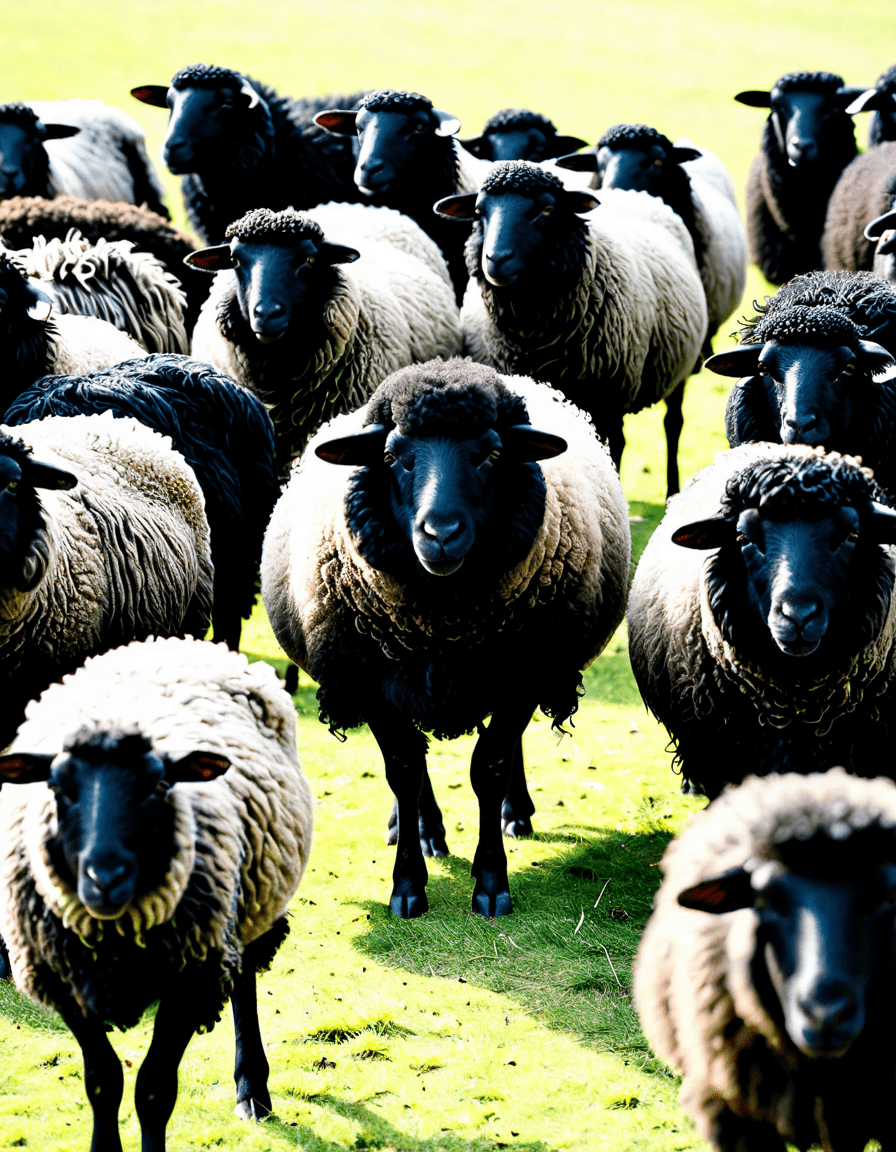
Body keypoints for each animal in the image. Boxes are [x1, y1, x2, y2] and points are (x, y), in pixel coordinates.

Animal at [0, 635, 313, 1144]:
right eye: (57, 788)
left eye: (158, 785)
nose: (104, 878)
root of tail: (178, 640)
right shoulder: (62, 977)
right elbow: (103, 1081)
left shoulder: (193, 976)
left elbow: (154, 1088)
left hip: (248, 901)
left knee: (244, 981)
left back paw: (252, 1089)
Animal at [261, 357, 631, 917]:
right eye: (392, 457)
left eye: (492, 454)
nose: (440, 533)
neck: (443, 623)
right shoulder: (370, 682)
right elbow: (404, 769)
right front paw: (408, 886)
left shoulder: (525, 673)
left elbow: (492, 764)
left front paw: (491, 883)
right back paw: (419, 827)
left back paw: (514, 813)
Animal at [437, 161, 707, 496]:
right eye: (478, 211)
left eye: (547, 209)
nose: (496, 259)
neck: (534, 339)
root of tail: (632, 193)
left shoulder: (606, 398)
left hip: (676, 369)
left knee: (672, 425)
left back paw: (672, 489)